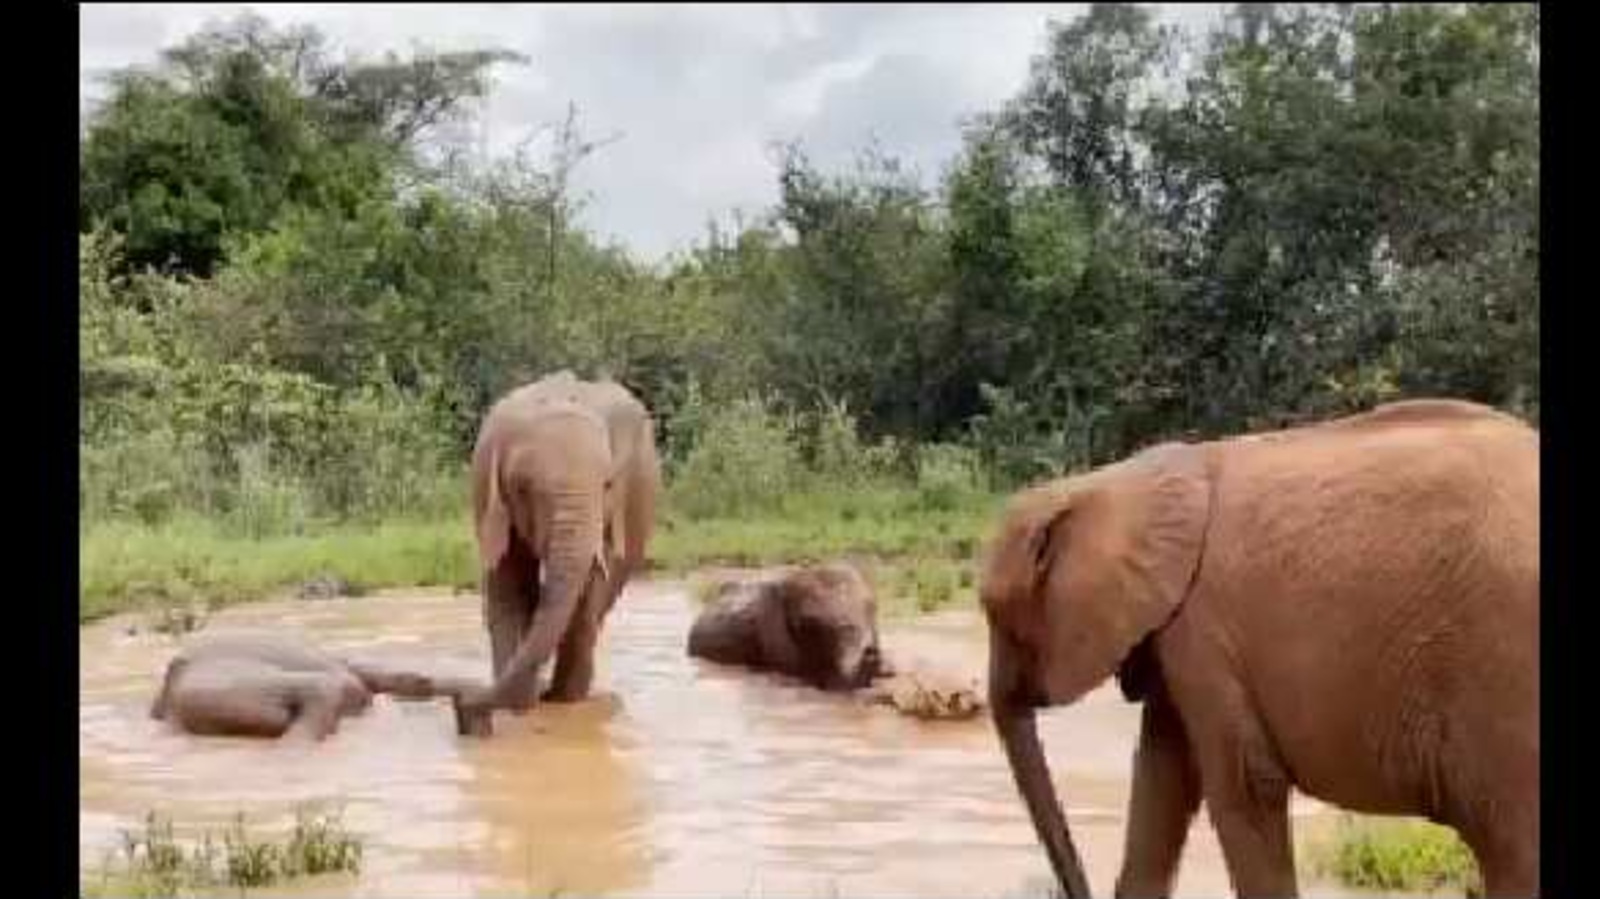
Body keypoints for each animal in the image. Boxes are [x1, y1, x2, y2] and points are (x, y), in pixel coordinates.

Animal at [455, 371, 661, 723]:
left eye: (607, 485)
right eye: (522, 487)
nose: (461, 702)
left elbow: (589, 587)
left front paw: (561, 701)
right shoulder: (486, 494)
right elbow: (508, 584)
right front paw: (520, 705)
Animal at [979, 399, 1538, 898]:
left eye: (997, 613)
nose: (1070, 888)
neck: (1111, 484)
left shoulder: (1203, 629)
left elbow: (1245, 784)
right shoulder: (1182, 633)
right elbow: (1164, 774)